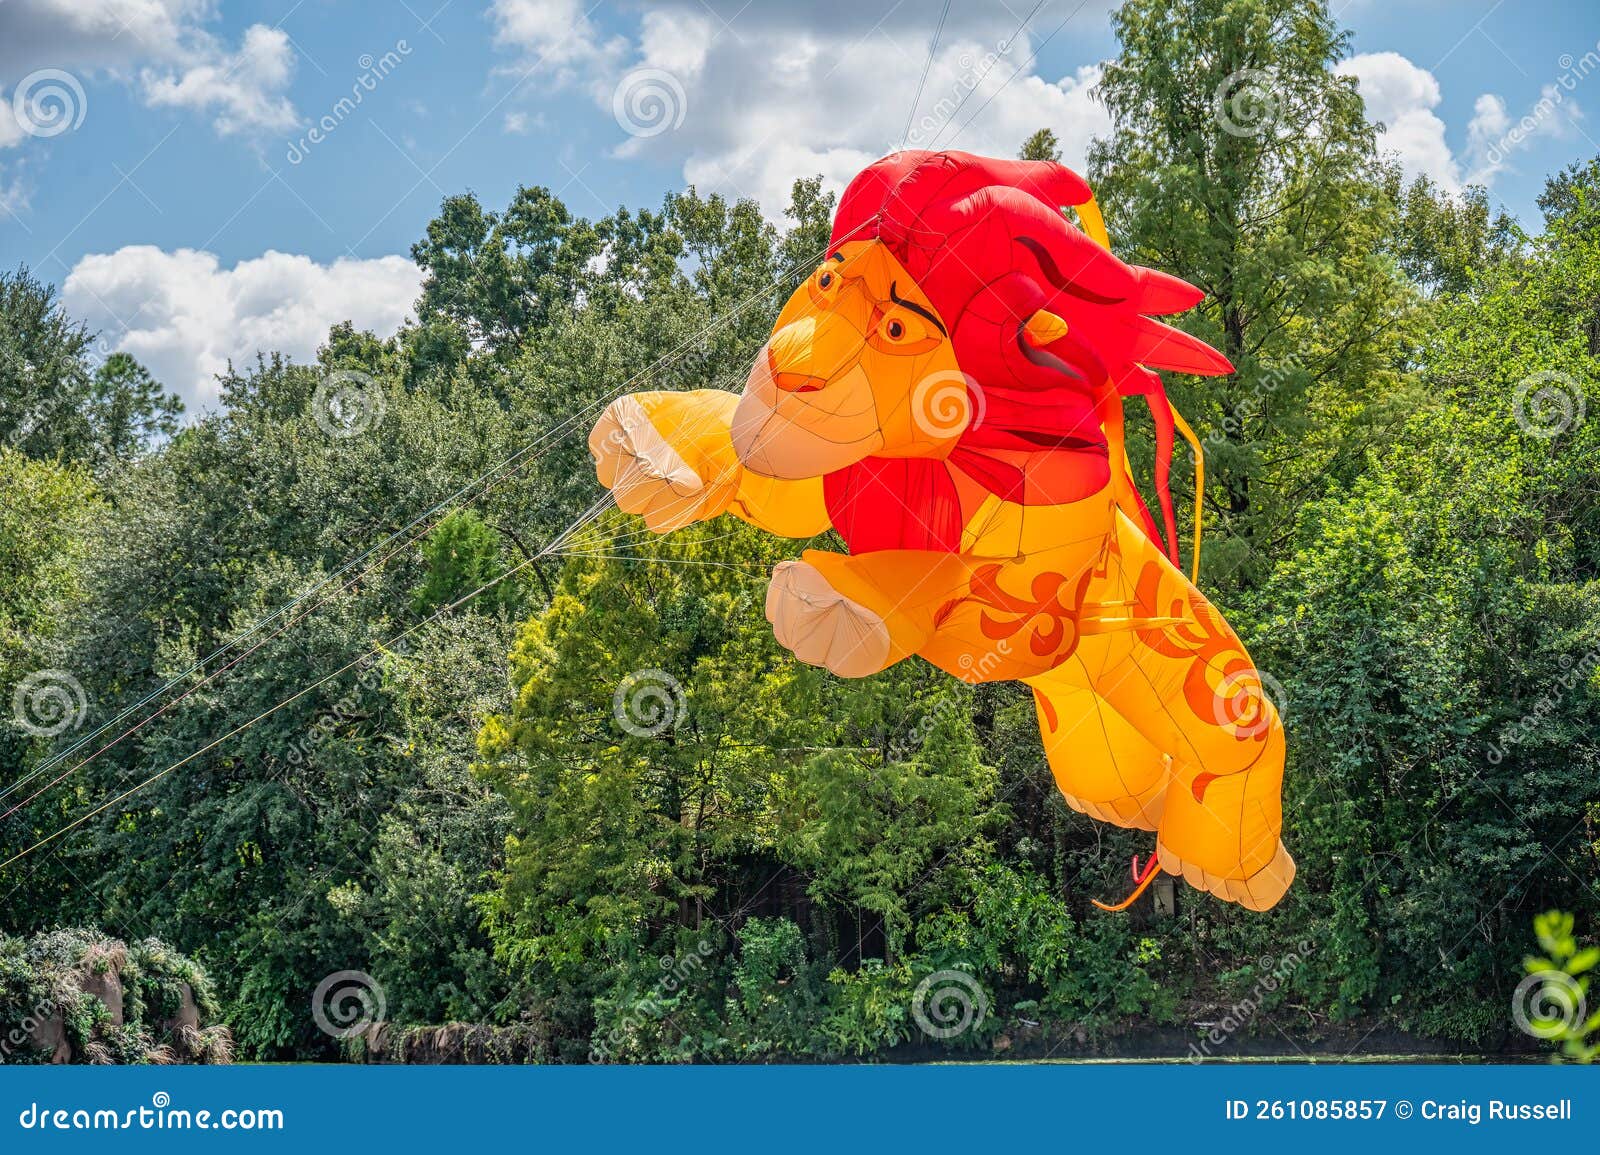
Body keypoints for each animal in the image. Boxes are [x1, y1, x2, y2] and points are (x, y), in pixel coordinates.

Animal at [588, 151, 1294, 911]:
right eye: (828, 281)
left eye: (898, 330)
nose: (789, 374)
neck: (953, 449)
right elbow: (780, 491)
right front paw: (648, 447)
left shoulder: (1031, 578)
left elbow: (959, 595)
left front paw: (834, 604)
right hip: (1083, 692)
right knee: (1106, 752)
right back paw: (1118, 799)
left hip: (1187, 664)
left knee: (1242, 725)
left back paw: (1231, 866)